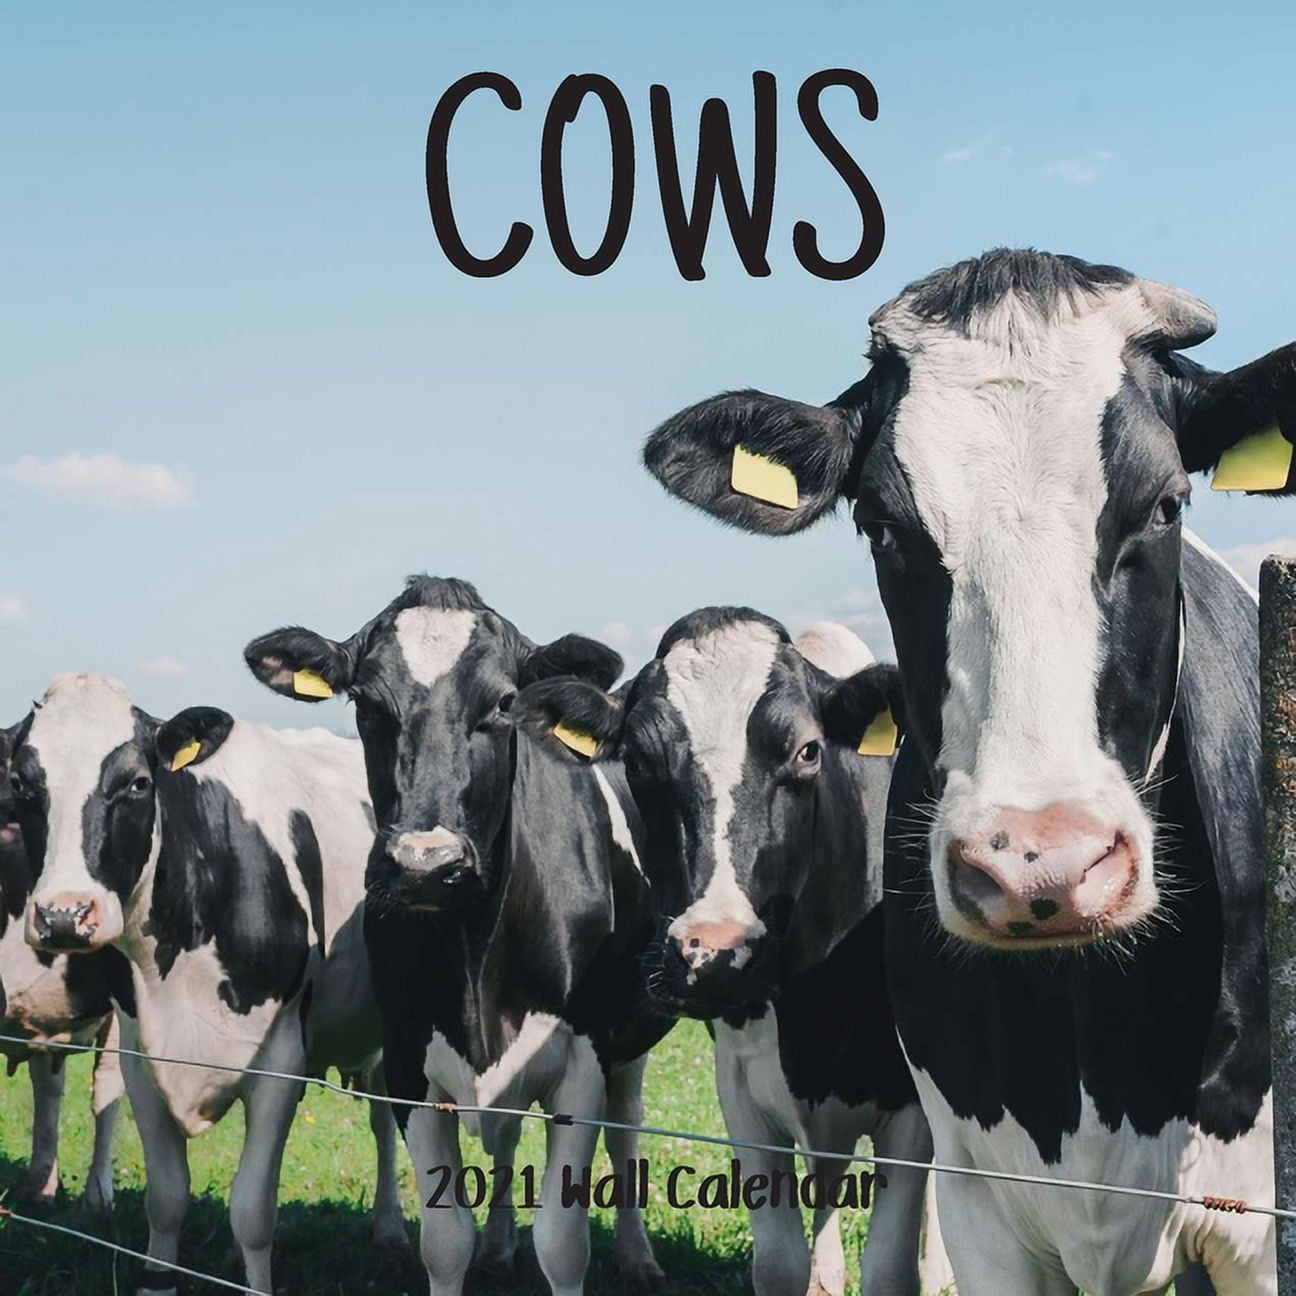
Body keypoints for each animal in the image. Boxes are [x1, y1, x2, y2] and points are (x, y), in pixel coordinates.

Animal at [9, 674, 406, 1296]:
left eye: (138, 783)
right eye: (21, 784)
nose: (63, 916)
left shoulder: (281, 1060)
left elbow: (253, 1209)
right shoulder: (141, 1052)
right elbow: (167, 1198)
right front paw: (158, 1281)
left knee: (385, 1114)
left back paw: (390, 1227)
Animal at [244, 575, 674, 1296]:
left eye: (502, 702)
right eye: (367, 702)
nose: (426, 863)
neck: (477, 956)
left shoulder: (583, 1063)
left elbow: (563, 1242)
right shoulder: (409, 1062)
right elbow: (446, 1243)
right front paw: (478, 1246)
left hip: (630, 1040)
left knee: (626, 1130)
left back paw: (639, 1256)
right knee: (505, 1142)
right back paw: (501, 1245)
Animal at [539, 608, 952, 1296]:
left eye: (808, 751)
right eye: (638, 762)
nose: (712, 952)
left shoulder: (909, 1104)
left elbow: (891, 1267)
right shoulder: (741, 1091)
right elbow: (779, 1262)